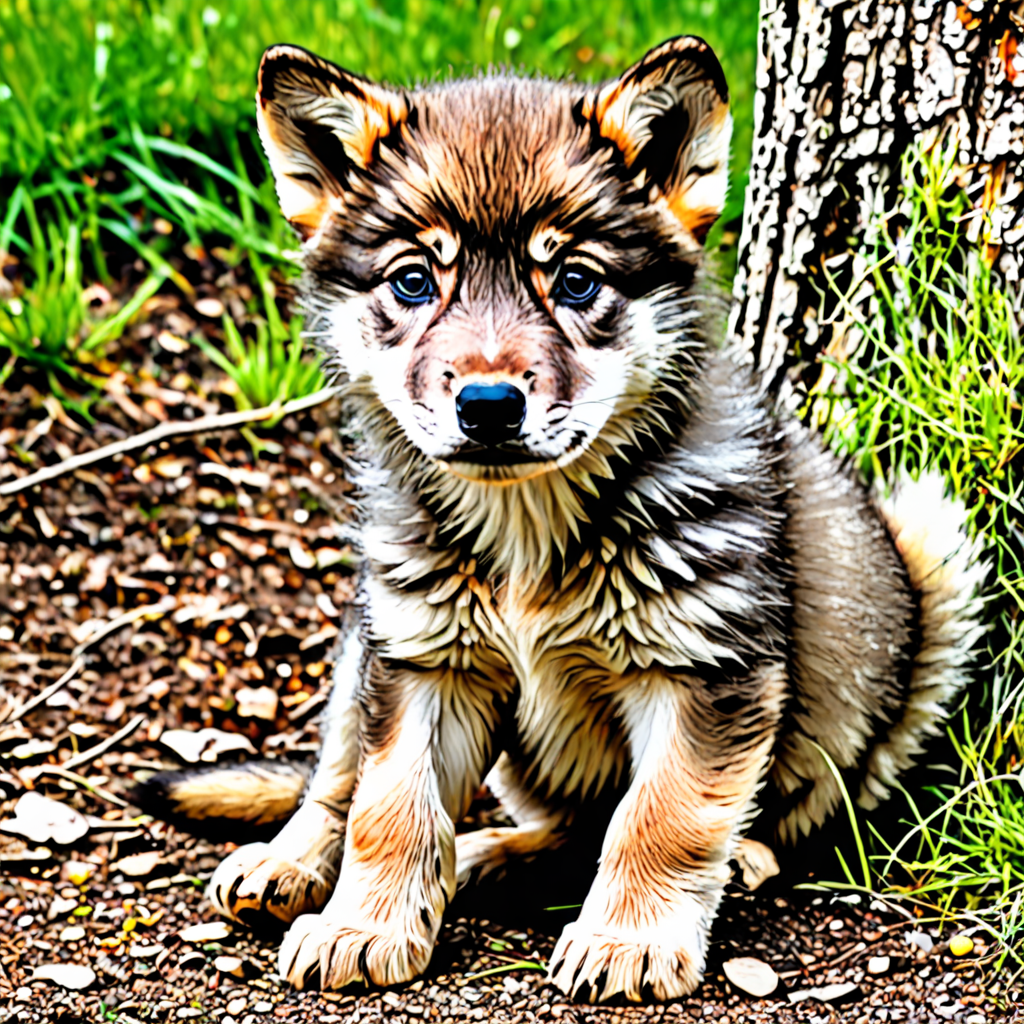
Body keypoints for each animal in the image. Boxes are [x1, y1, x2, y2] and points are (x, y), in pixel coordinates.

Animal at [152, 37, 984, 1002]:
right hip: (371, 632)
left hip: (923, 570)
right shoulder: (425, 661)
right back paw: (322, 861)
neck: (526, 527)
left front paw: (629, 939)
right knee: (337, 777)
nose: (487, 406)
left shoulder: (705, 668)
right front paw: (367, 923)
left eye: (576, 281)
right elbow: (387, 804)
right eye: (413, 282)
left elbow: (661, 815)